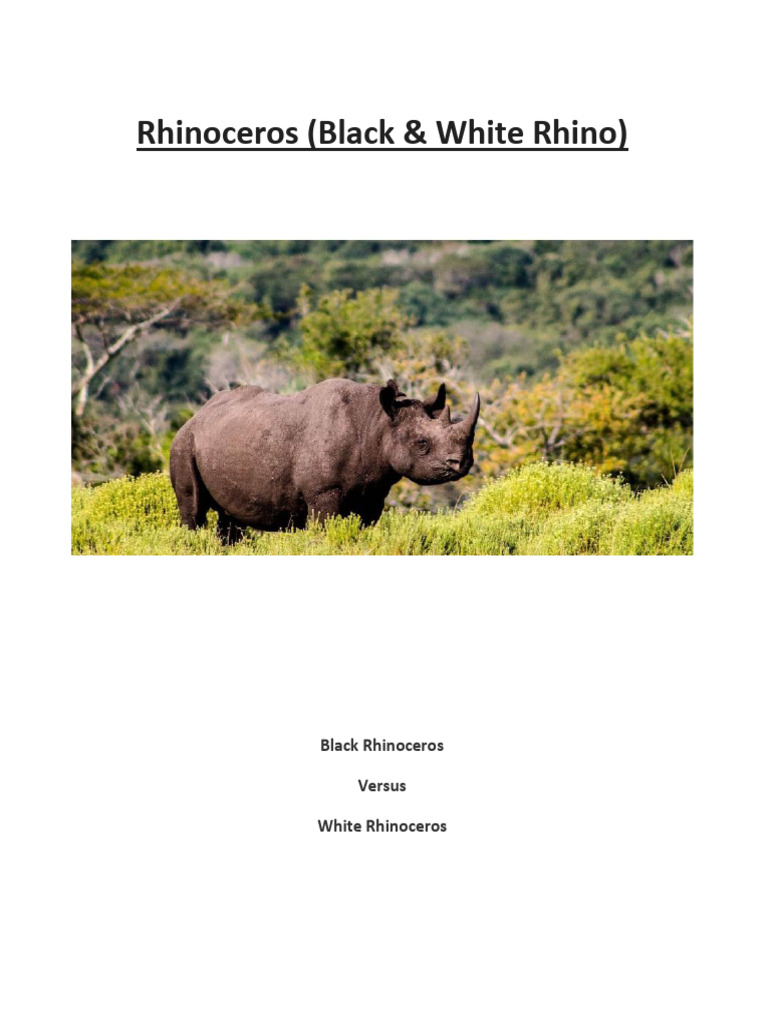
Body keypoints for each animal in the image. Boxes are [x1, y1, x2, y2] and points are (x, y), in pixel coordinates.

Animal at [170, 378, 480, 541]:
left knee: (228, 518)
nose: (461, 464)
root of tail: (196, 415)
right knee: (193, 509)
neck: (375, 424)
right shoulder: (323, 492)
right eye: (422, 444)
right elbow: (324, 529)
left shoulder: (373, 494)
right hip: (184, 443)